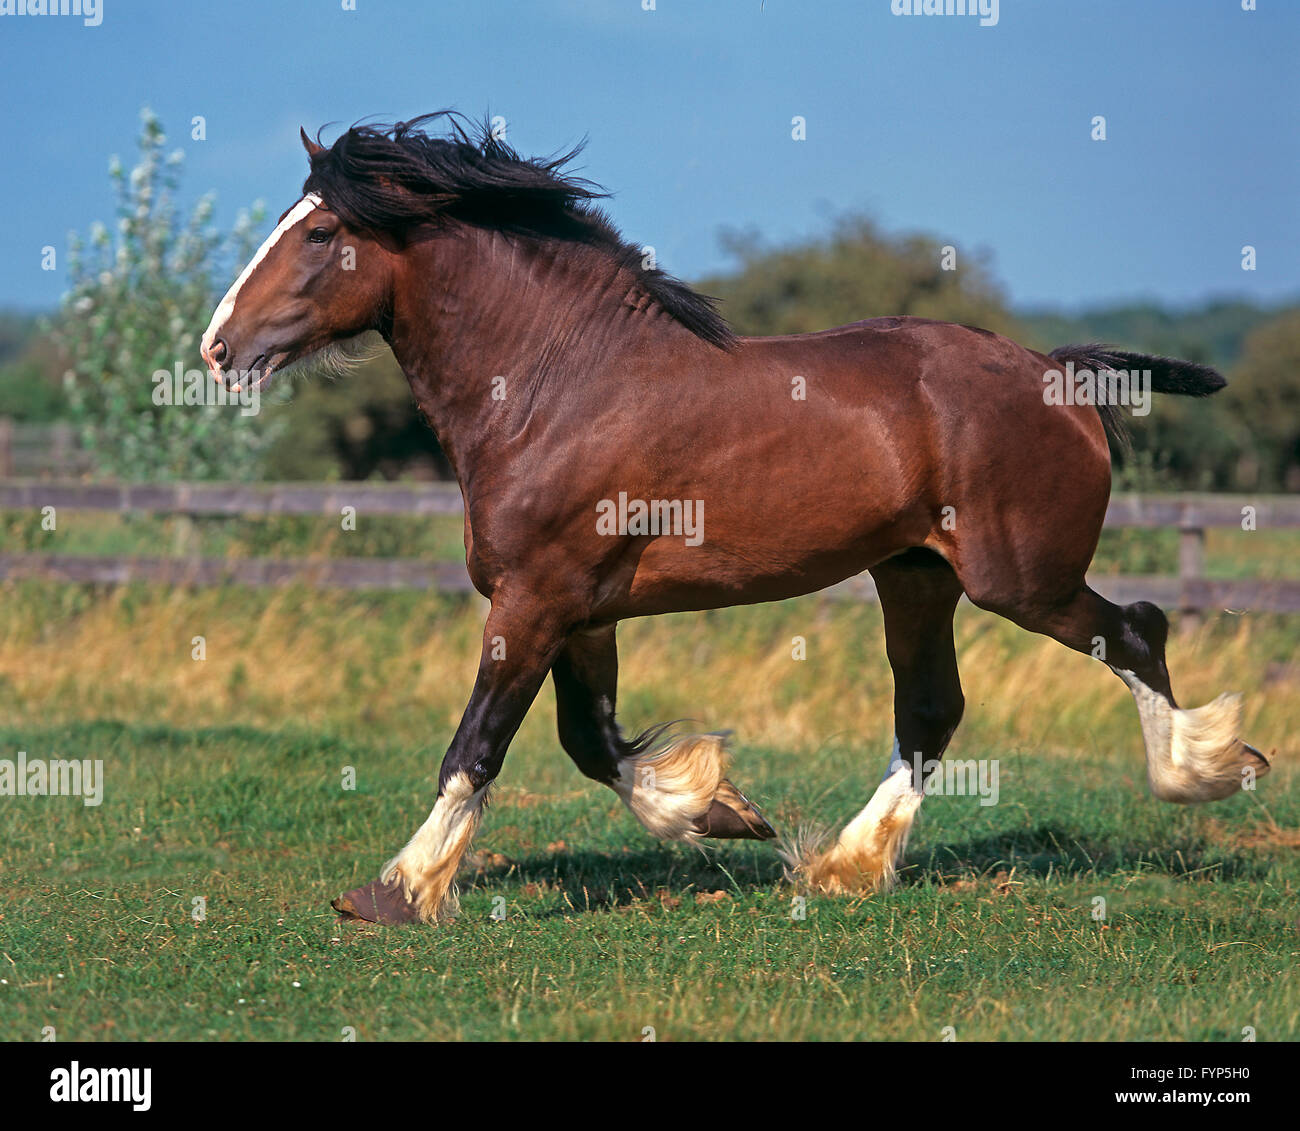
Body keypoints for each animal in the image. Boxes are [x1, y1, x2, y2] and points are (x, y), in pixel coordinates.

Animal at [199, 114, 1270, 925]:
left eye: (319, 235)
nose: (217, 347)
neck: (554, 388)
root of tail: (1059, 371)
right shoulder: (579, 612)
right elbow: (591, 742)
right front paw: (716, 808)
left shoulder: (535, 600)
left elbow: (478, 744)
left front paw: (398, 890)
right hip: (915, 574)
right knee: (932, 708)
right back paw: (845, 865)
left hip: (1021, 577)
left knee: (1135, 630)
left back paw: (1203, 771)